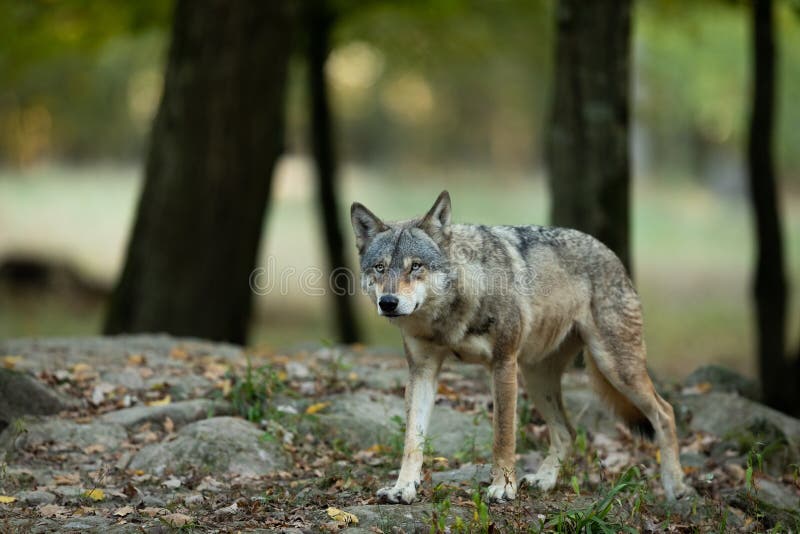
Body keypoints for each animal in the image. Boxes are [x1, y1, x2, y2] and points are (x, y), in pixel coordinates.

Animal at [349, 191, 690, 504]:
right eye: (379, 268)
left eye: (416, 266)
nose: (388, 302)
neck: (449, 312)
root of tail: (610, 252)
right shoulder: (422, 372)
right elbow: (412, 439)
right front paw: (403, 487)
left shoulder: (503, 363)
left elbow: (503, 436)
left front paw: (503, 487)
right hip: (536, 377)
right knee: (568, 432)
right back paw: (545, 480)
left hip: (616, 367)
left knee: (665, 412)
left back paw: (675, 486)